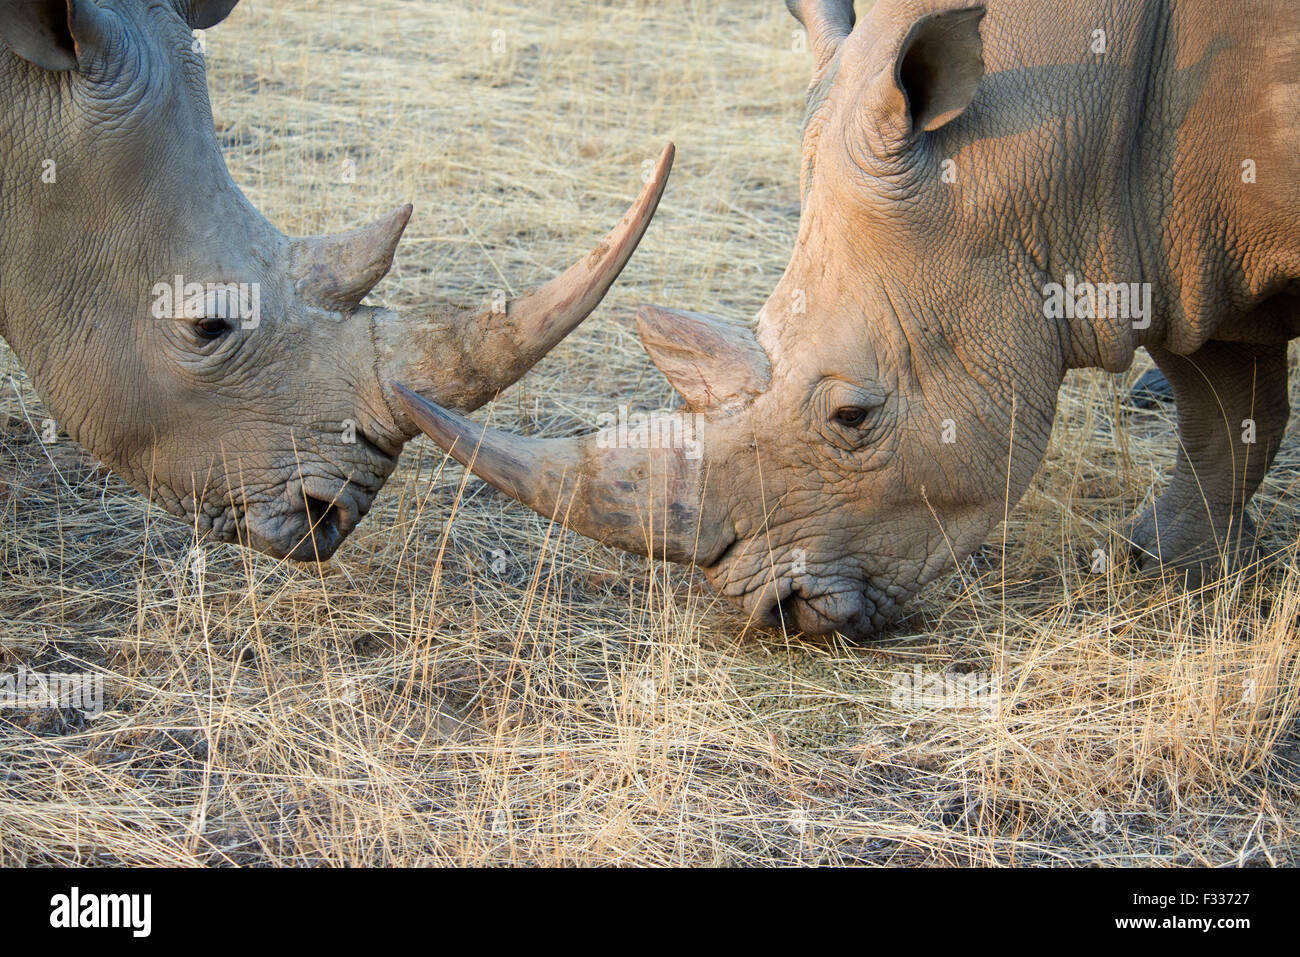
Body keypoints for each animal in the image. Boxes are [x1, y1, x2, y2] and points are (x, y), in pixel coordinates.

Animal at [397, 0, 1300, 641]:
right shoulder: (1175, 241)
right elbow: (1225, 406)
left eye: (853, 416)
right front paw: (1173, 569)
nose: (777, 613)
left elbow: (1228, 400)